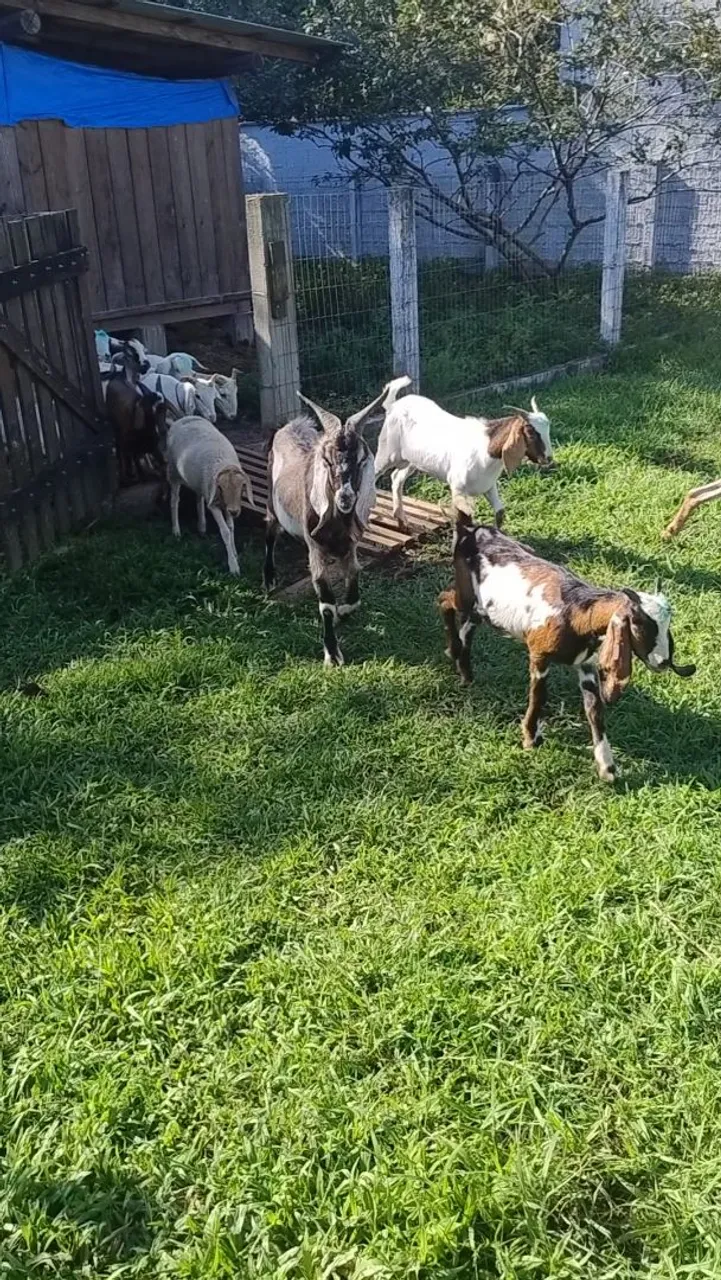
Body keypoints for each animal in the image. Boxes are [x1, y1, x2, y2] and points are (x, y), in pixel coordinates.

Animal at [166, 416, 256, 576]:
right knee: (174, 501)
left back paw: (202, 526)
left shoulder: (226, 504)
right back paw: (176, 531)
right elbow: (225, 531)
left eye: (242, 487)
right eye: (220, 487)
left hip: (200, 482)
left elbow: (231, 527)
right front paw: (233, 566)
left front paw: (234, 553)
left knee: (199, 498)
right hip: (173, 472)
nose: (235, 511)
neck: (224, 463)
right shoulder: (214, 504)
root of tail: (180, 419)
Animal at [264, 377, 408, 666]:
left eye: (361, 458)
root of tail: (290, 426)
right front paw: (332, 654)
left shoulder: (350, 547)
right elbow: (326, 604)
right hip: (273, 505)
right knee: (270, 531)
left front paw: (344, 611)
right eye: (327, 460)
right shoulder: (316, 550)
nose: (345, 497)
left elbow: (354, 591)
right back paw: (270, 577)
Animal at [375, 391, 554, 531]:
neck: (484, 450)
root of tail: (394, 404)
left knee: (396, 477)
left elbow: (500, 512)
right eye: (530, 432)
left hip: (411, 460)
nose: (549, 459)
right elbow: (464, 519)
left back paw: (401, 520)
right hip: (387, 453)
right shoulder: (457, 488)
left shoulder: (489, 486)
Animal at [439, 512, 695, 781]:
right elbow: (539, 696)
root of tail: (472, 528)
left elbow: (595, 710)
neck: (576, 614)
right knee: (444, 599)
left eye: (667, 624)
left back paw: (465, 671)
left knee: (467, 626)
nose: (663, 662)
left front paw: (607, 768)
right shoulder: (539, 655)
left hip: (483, 612)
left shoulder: (586, 665)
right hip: (466, 595)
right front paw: (530, 738)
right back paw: (453, 649)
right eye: (638, 624)